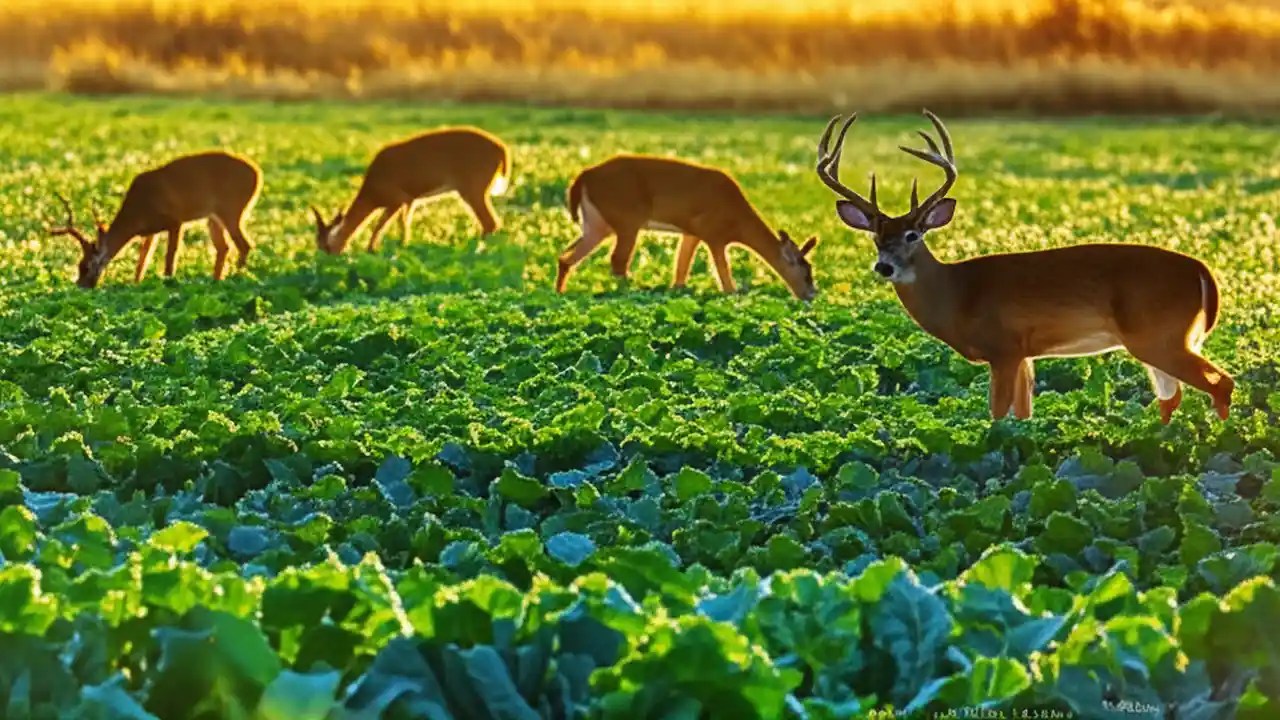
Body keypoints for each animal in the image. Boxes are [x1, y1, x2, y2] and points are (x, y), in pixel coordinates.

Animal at [48, 151, 262, 289]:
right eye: (79, 264)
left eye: (86, 266)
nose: (81, 286)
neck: (136, 212)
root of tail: (257, 173)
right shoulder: (150, 232)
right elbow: (143, 257)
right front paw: (135, 284)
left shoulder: (175, 221)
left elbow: (169, 256)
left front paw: (168, 282)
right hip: (213, 218)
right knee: (224, 247)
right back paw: (216, 281)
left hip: (231, 210)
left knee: (244, 244)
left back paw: (236, 279)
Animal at [311, 127, 511, 255]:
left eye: (325, 246)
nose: (327, 260)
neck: (372, 191)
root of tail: (502, 149)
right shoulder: (410, 200)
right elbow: (402, 223)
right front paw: (400, 246)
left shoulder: (397, 198)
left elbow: (382, 224)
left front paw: (373, 250)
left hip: (472, 189)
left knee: (490, 222)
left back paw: (476, 251)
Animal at [556, 154, 818, 300]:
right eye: (806, 272)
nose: (812, 295)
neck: (737, 220)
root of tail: (582, 177)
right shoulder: (713, 234)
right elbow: (725, 278)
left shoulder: (692, 233)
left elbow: (681, 271)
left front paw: (677, 293)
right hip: (627, 221)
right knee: (617, 261)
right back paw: (634, 293)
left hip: (597, 225)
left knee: (566, 257)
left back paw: (559, 295)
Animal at [815, 110, 1233, 423]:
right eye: (876, 237)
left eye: (913, 235)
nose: (885, 267)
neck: (958, 295)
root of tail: (1202, 271)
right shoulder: (1025, 353)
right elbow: (1023, 415)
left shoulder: (1004, 347)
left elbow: (998, 415)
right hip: (1162, 340)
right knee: (1172, 396)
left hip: (1159, 335)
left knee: (1221, 383)